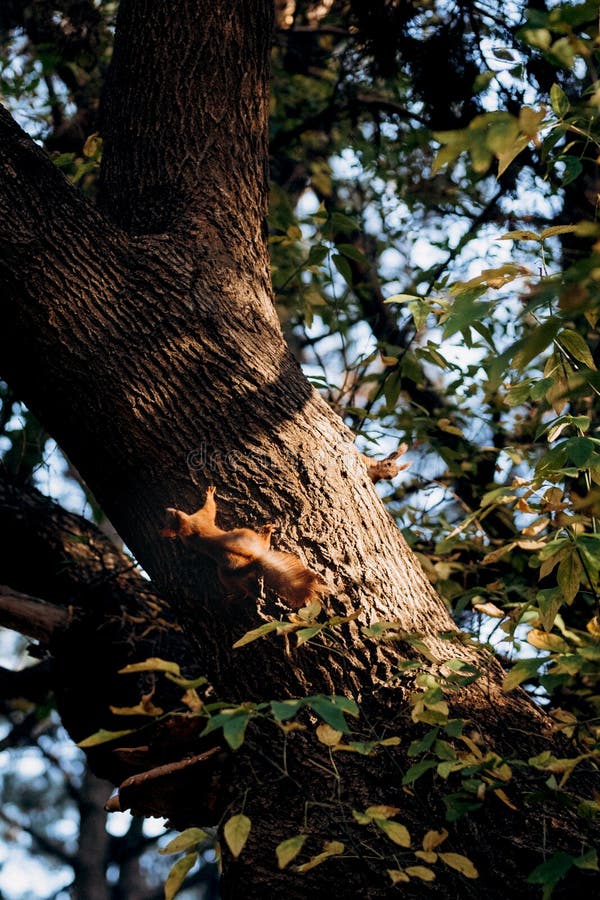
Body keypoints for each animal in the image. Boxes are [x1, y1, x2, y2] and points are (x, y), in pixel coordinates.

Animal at [161, 486, 327, 610]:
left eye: (170, 515)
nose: (167, 508)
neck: (186, 527)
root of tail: (253, 559)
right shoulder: (200, 518)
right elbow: (209, 509)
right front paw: (210, 494)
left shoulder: (193, 529)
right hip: (244, 535)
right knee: (263, 547)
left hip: (230, 572)